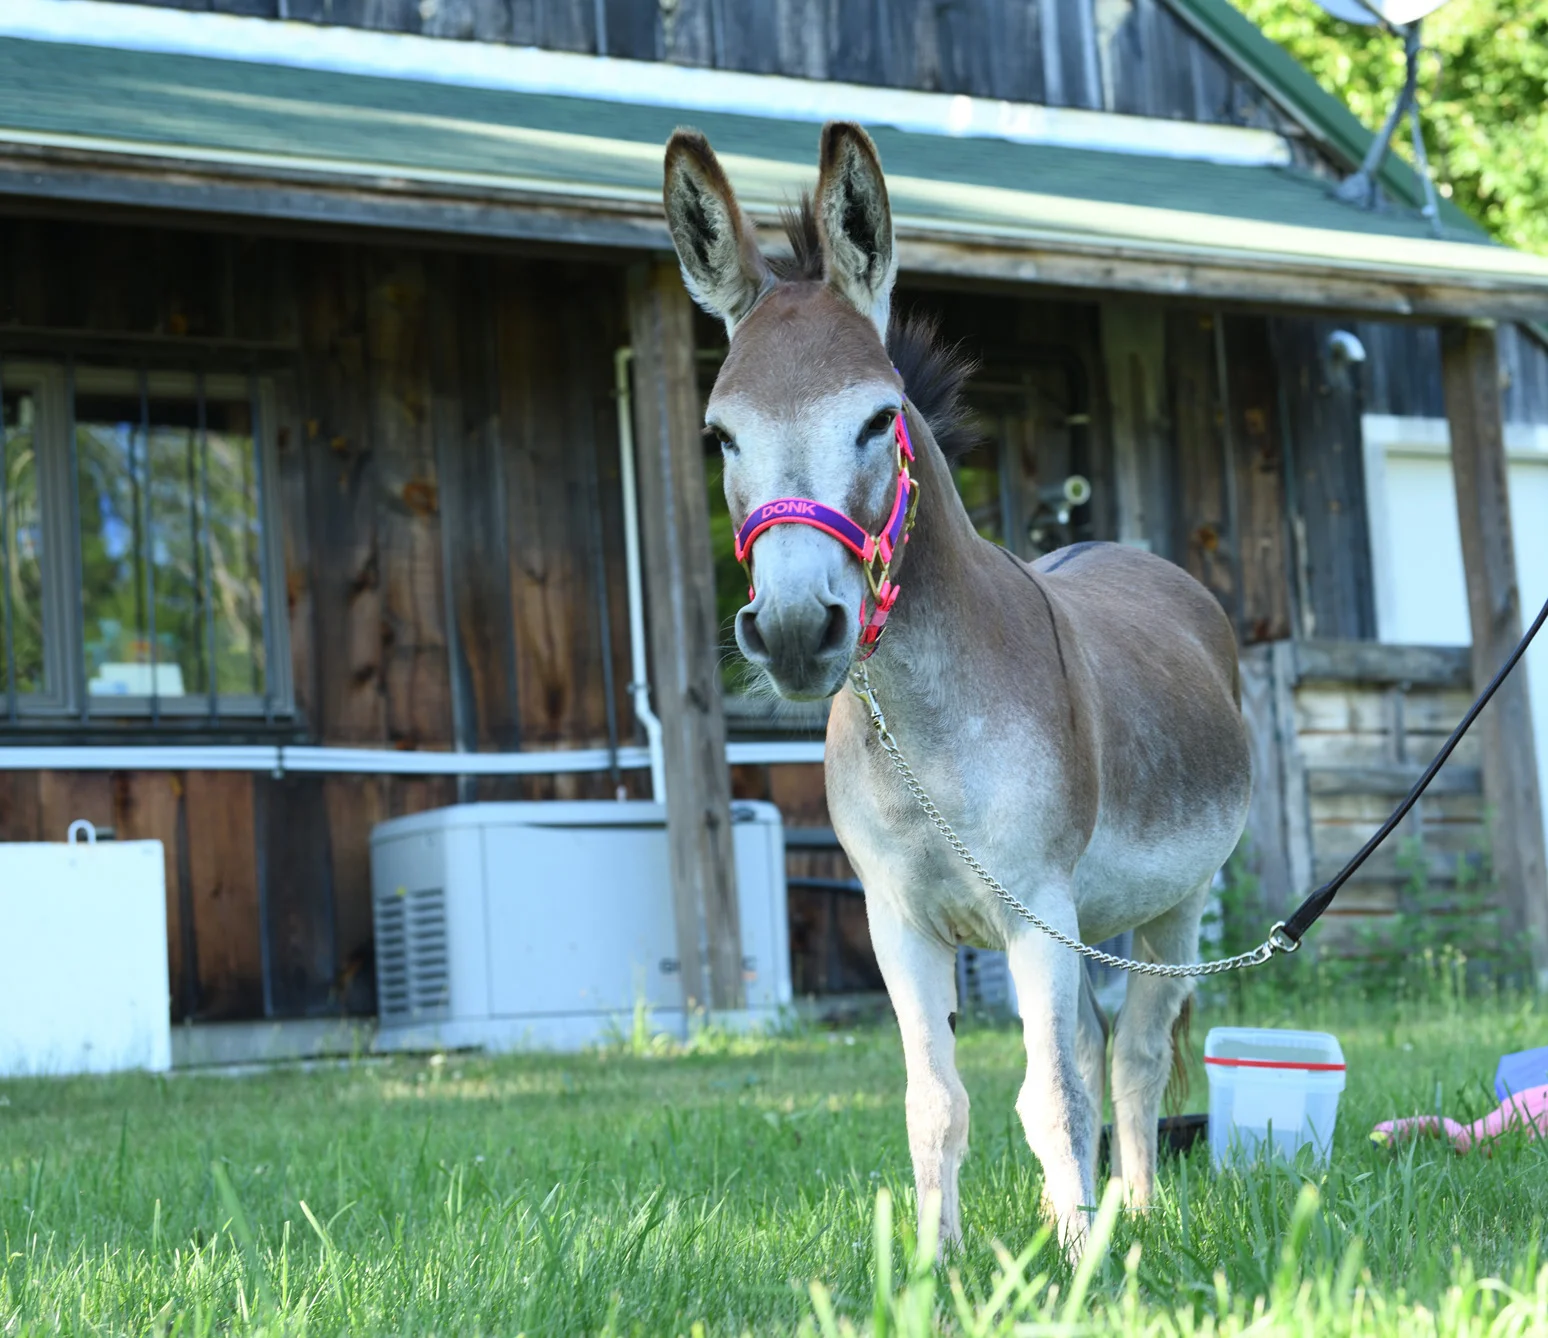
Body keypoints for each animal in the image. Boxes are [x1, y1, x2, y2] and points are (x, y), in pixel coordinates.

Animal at [661, 121, 1252, 1253]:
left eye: (875, 419)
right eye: (719, 436)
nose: (795, 631)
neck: (923, 733)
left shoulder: (1034, 908)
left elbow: (1056, 1094)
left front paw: (1081, 1265)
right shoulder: (900, 920)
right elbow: (937, 1102)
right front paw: (938, 1264)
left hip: (1174, 905)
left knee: (1132, 1054)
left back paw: (1136, 1210)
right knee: (1090, 1045)